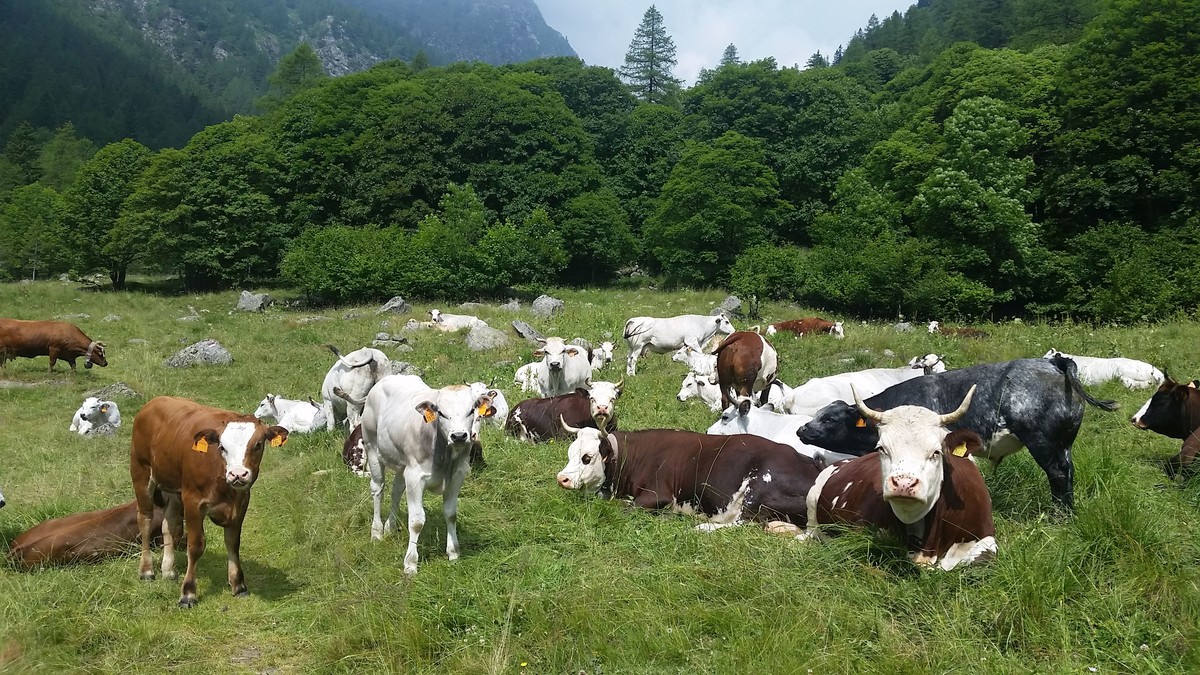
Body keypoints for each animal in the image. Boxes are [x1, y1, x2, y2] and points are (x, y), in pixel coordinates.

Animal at [130, 396, 289, 608]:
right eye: (222, 447)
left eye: (258, 444)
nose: (238, 474)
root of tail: (155, 401)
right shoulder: (192, 502)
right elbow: (195, 546)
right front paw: (188, 593)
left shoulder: (242, 502)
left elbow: (233, 542)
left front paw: (238, 585)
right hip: (141, 474)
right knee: (145, 520)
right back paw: (147, 570)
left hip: (174, 489)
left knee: (169, 525)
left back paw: (168, 569)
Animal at [361, 374, 496, 574]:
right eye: (441, 412)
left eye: (471, 410)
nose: (459, 436)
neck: (445, 457)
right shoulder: (415, 477)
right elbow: (416, 521)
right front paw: (410, 563)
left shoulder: (457, 475)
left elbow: (450, 514)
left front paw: (453, 552)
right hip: (372, 448)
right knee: (378, 489)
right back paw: (377, 532)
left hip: (402, 464)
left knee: (396, 490)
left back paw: (390, 527)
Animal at [555, 423, 823, 532]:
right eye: (569, 453)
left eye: (587, 457)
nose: (562, 478)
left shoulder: (657, 494)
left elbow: (627, 509)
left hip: (757, 490)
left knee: (744, 524)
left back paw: (700, 527)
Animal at [797, 357, 1119, 511]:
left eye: (830, 418)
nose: (802, 429)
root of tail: (1055, 362)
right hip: (1064, 444)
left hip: (1044, 443)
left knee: (1058, 475)